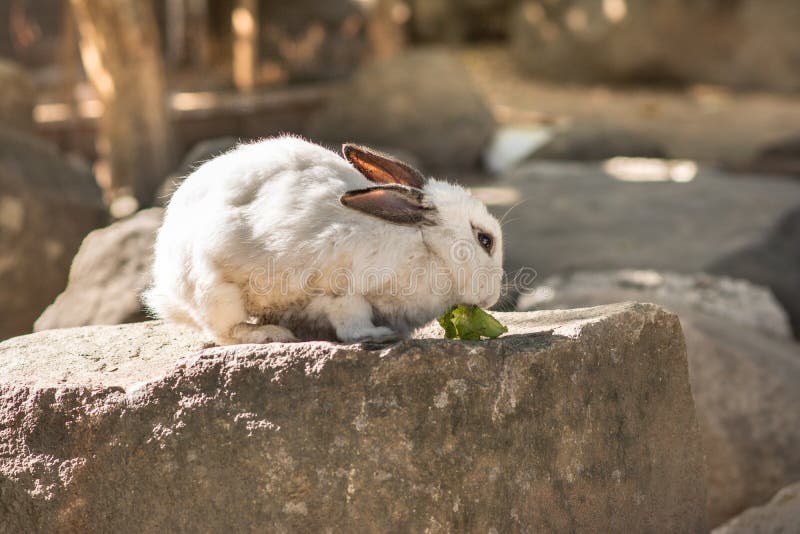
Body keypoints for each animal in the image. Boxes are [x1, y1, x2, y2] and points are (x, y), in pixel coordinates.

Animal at [144, 136, 503, 345]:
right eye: (484, 240)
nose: (491, 299)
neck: (424, 243)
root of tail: (168, 290)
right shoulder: (342, 286)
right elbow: (350, 318)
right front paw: (376, 335)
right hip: (218, 292)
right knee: (224, 332)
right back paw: (270, 334)